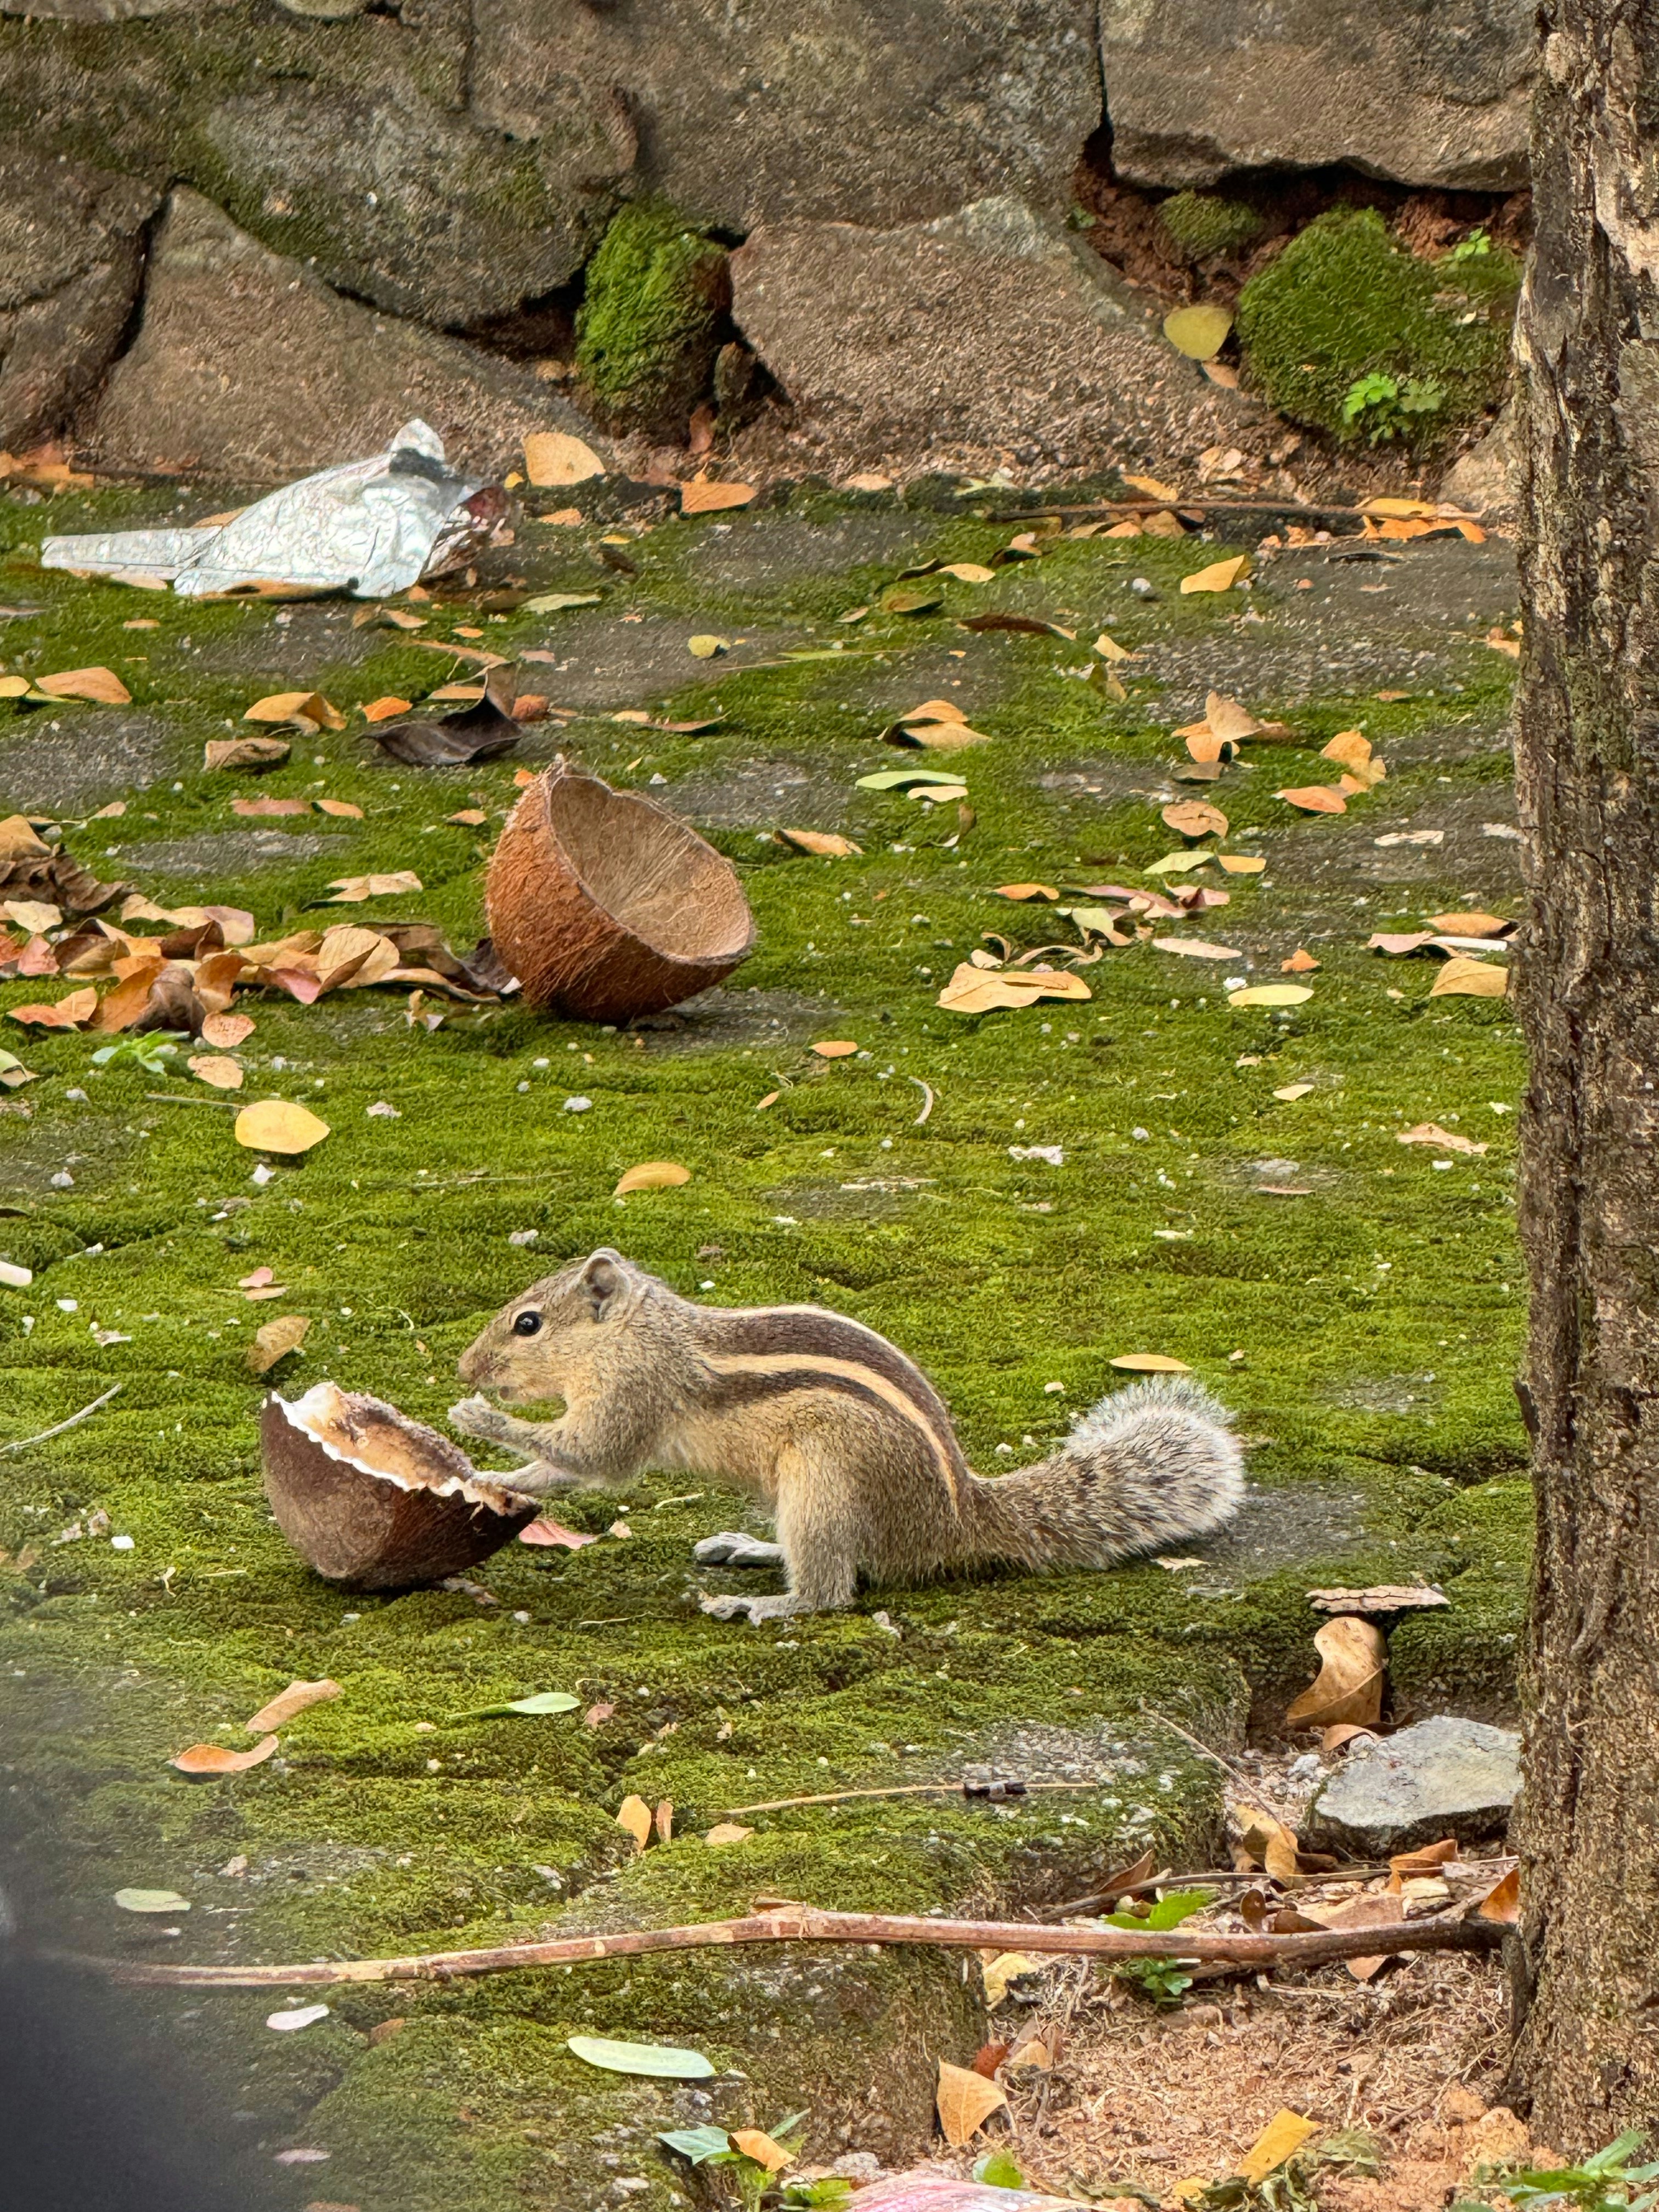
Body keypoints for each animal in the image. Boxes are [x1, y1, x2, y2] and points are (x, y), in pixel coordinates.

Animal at [451, 1249, 1245, 1626]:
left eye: (528, 1324)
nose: (465, 1366)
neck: (635, 1333)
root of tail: (960, 1518)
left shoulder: (631, 1400)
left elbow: (592, 1459)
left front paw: (476, 1419)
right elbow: (559, 1471)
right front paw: (493, 1479)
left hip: (824, 1478)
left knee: (834, 1590)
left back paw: (768, 1603)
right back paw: (751, 1549)